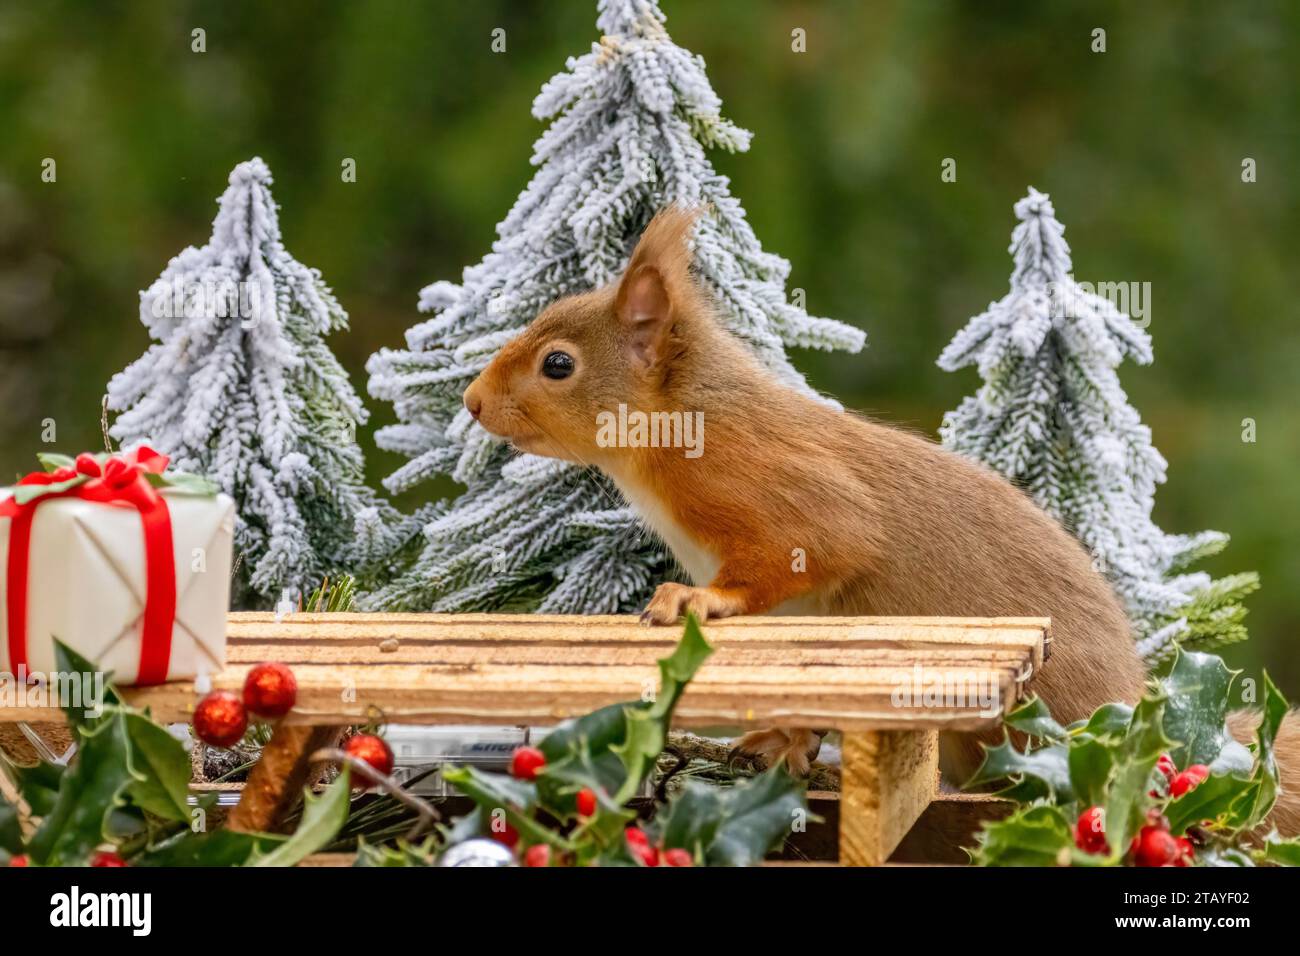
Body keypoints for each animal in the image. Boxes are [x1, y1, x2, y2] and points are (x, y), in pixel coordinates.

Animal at [463, 206, 1299, 833]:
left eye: (558, 365)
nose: (472, 403)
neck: (676, 436)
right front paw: (781, 741)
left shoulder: (781, 494)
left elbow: (812, 545)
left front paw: (695, 600)